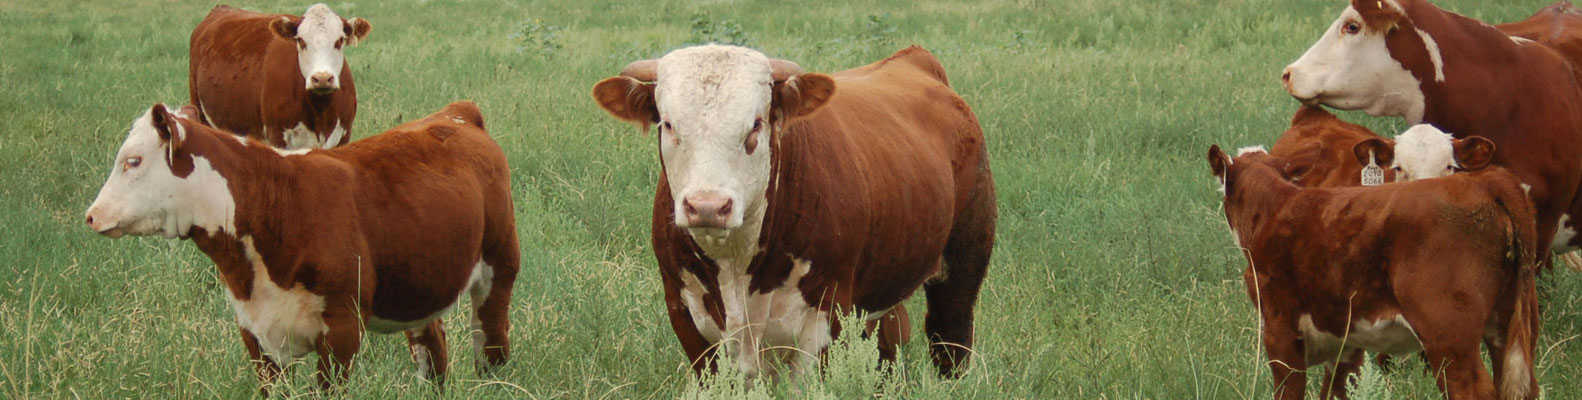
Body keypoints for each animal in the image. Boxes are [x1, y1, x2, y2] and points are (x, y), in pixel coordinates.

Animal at [83, 101, 518, 390]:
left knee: (492, 344)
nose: (91, 215)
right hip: (421, 283)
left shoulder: (342, 327)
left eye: (133, 160)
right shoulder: (254, 331)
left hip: (500, 266)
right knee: (433, 350)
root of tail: (455, 113)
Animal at [189, 4, 371, 150]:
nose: (322, 78)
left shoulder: (344, 135)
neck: (321, 112)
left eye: (340, 40)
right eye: (301, 41)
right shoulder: (277, 135)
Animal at [590, 45, 995, 380]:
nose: (707, 206)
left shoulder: (827, 318)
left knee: (951, 340)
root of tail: (913, 60)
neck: (736, 260)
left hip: (962, 268)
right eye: (668, 124)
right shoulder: (686, 318)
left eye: (756, 123)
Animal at [1209, 145, 1540, 400]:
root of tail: (1487, 180)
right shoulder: (1345, 340)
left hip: (1449, 336)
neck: (1274, 209)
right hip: (1510, 326)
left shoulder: (1280, 332)